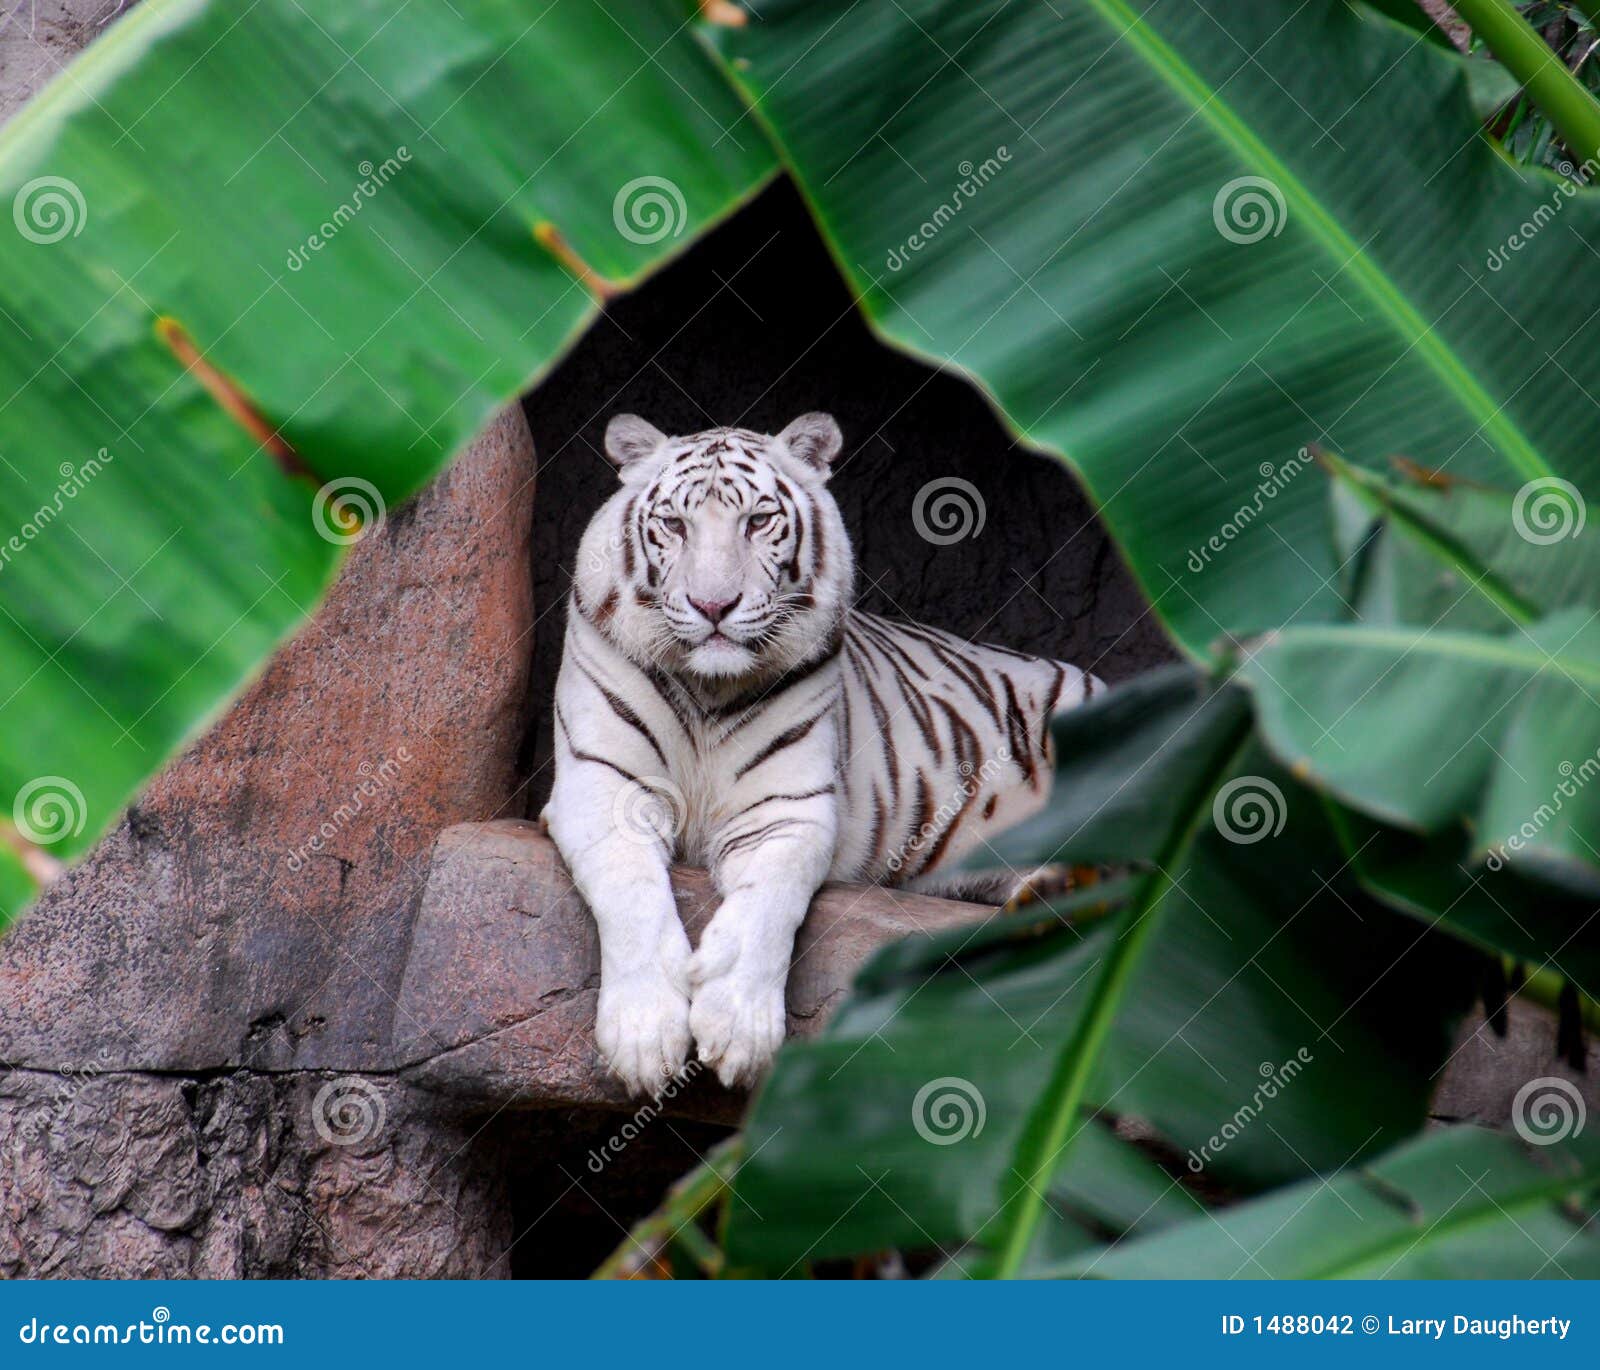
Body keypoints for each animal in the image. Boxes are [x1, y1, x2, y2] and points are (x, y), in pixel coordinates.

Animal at [542, 412, 1101, 1095]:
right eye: (674, 524)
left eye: (758, 520)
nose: (713, 606)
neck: (708, 688)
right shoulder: (602, 785)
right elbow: (631, 892)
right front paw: (645, 1036)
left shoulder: (788, 808)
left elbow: (768, 904)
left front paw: (738, 1030)